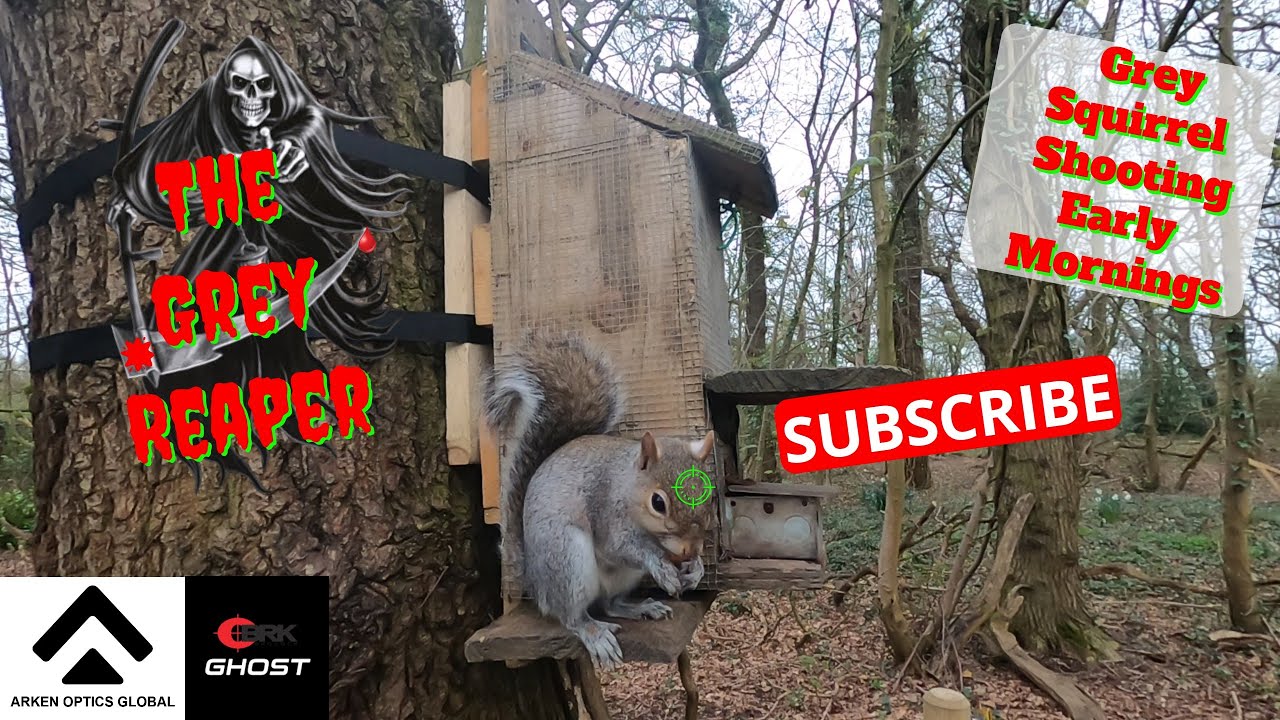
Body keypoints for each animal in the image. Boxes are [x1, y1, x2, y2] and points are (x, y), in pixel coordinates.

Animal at [483, 330, 716, 670]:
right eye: (658, 503)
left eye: (710, 494)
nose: (690, 550)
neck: (625, 486)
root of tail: (534, 581)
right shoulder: (606, 512)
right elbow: (623, 547)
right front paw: (660, 565)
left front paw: (695, 568)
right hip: (567, 560)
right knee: (572, 615)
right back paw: (593, 633)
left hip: (620, 577)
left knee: (610, 603)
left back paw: (641, 607)